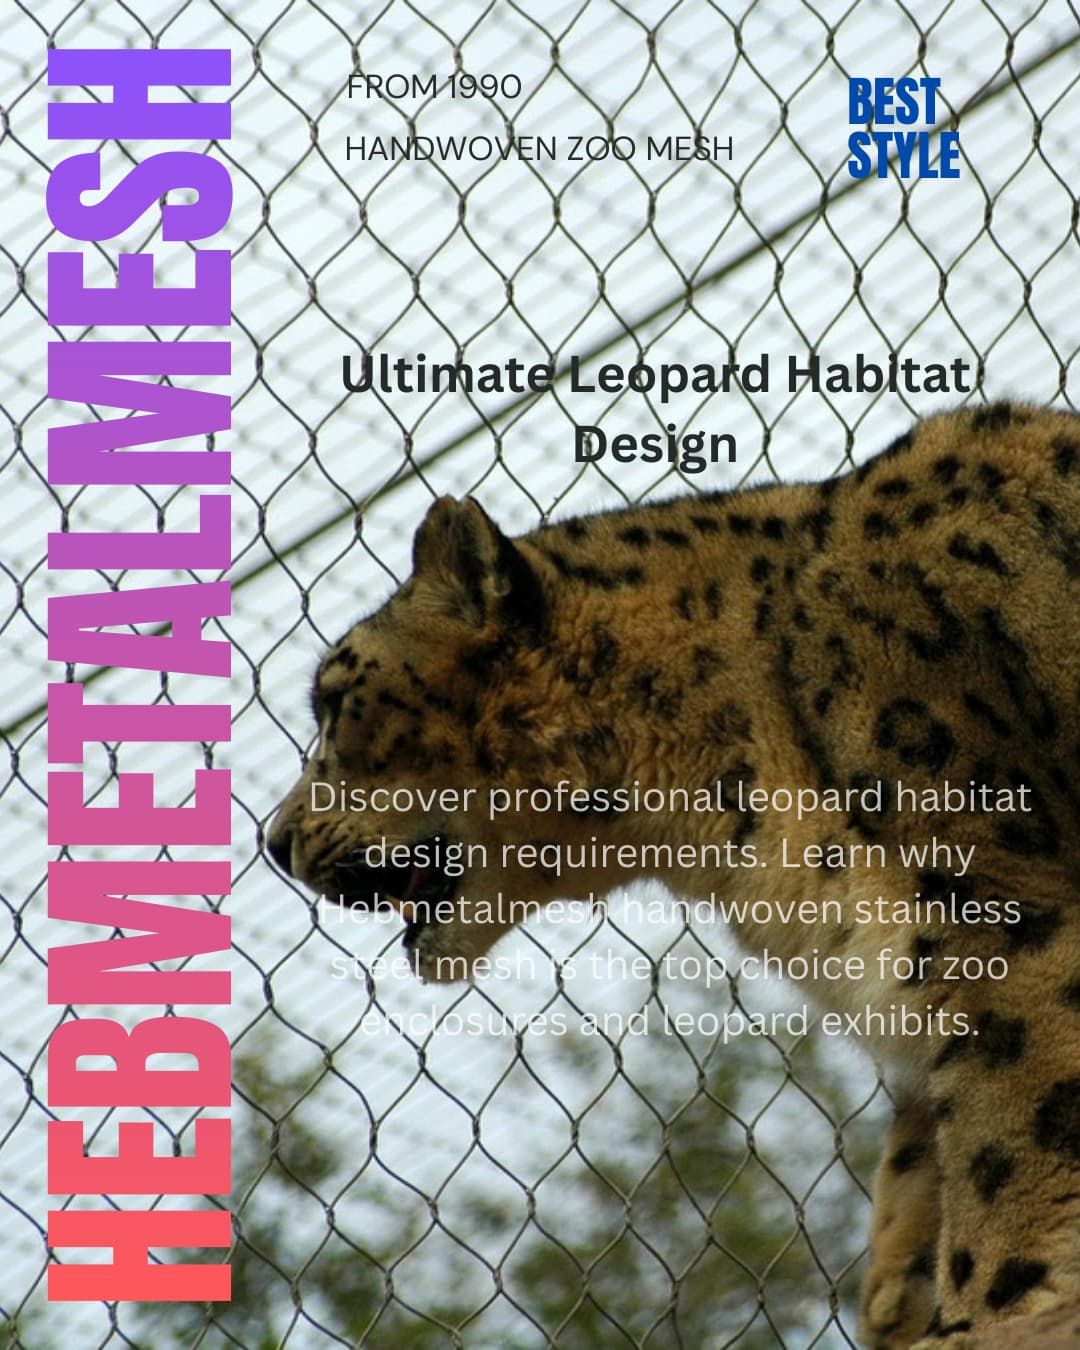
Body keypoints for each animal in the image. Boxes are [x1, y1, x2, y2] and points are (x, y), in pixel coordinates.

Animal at [269, 401, 1080, 1349]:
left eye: (333, 703)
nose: (275, 842)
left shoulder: (1009, 933)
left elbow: (1004, 1156)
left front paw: (988, 1310)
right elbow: (919, 1181)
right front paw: (905, 1306)